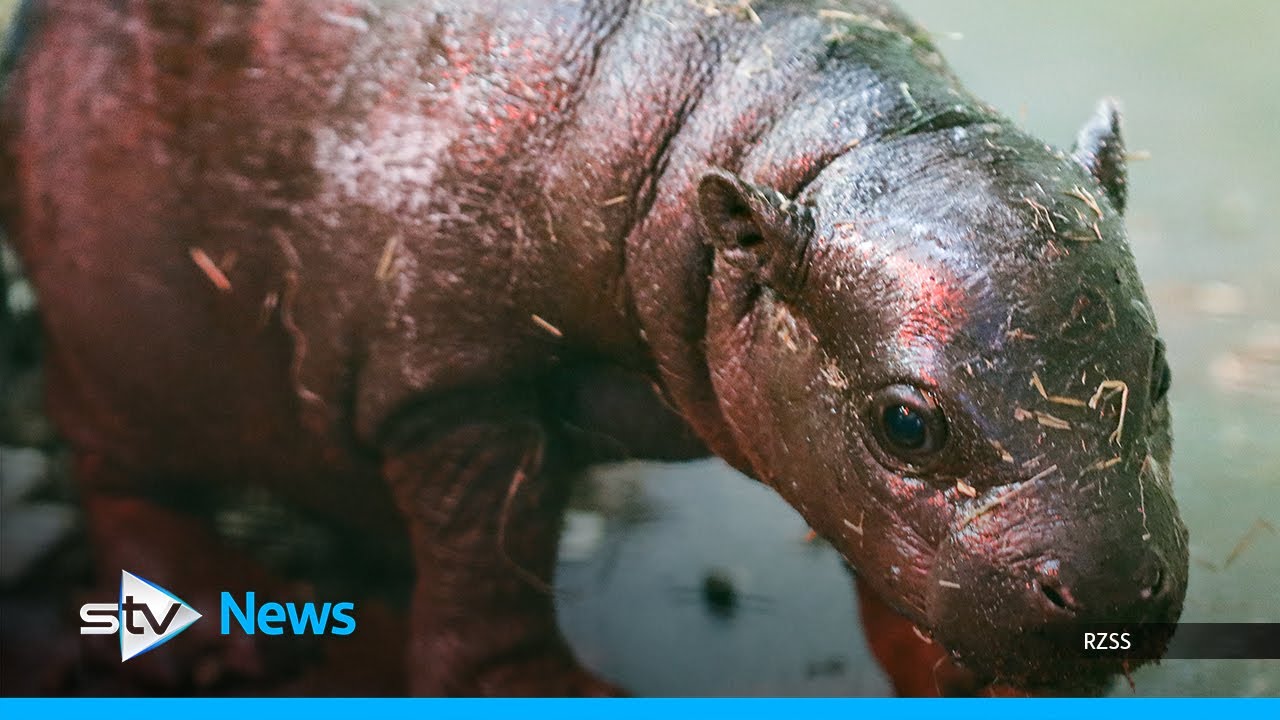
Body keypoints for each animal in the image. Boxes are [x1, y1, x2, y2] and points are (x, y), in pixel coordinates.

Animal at [0, 0, 1187, 696]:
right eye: (905, 421)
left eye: (1163, 368)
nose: (1115, 598)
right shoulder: (452, 380)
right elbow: (493, 556)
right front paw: (555, 696)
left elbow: (878, 545)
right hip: (125, 357)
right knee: (112, 474)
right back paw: (229, 635)